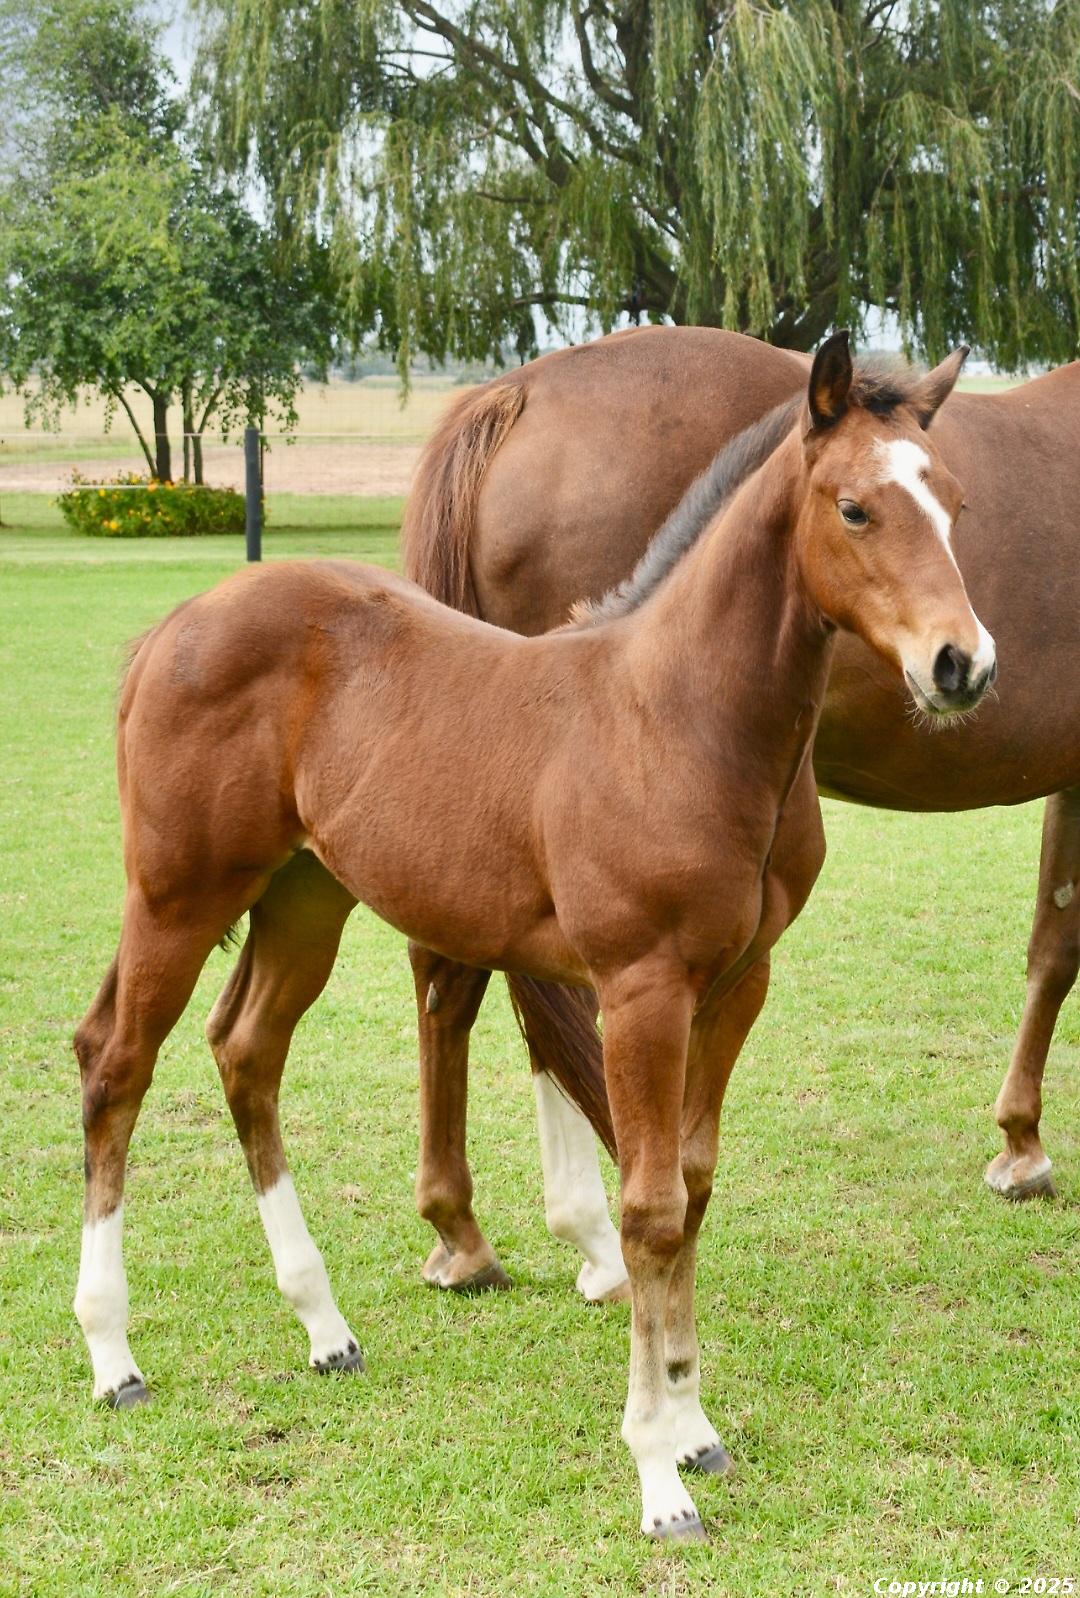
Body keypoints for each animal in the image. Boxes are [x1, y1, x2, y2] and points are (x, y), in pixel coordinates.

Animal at [73, 335, 993, 1540]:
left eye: (957, 502)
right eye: (854, 508)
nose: (962, 665)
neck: (680, 718)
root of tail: (172, 627)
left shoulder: (736, 985)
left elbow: (693, 1186)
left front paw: (695, 1427)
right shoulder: (640, 988)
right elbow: (648, 1211)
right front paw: (657, 1471)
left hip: (305, 897)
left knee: (247, 1050)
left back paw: (325, 1328)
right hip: (177, 896)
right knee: (117, 1065)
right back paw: (113, 1355)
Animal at [399, 324, 1080, 1304]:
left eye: (959, 506)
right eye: (854, 511)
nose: (969, 663)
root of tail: (516, 394)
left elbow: (1050, 940)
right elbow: (1059, 949)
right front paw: (1023, 1146)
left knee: (455, 975)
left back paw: (468, 1233)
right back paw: (581, 1238)